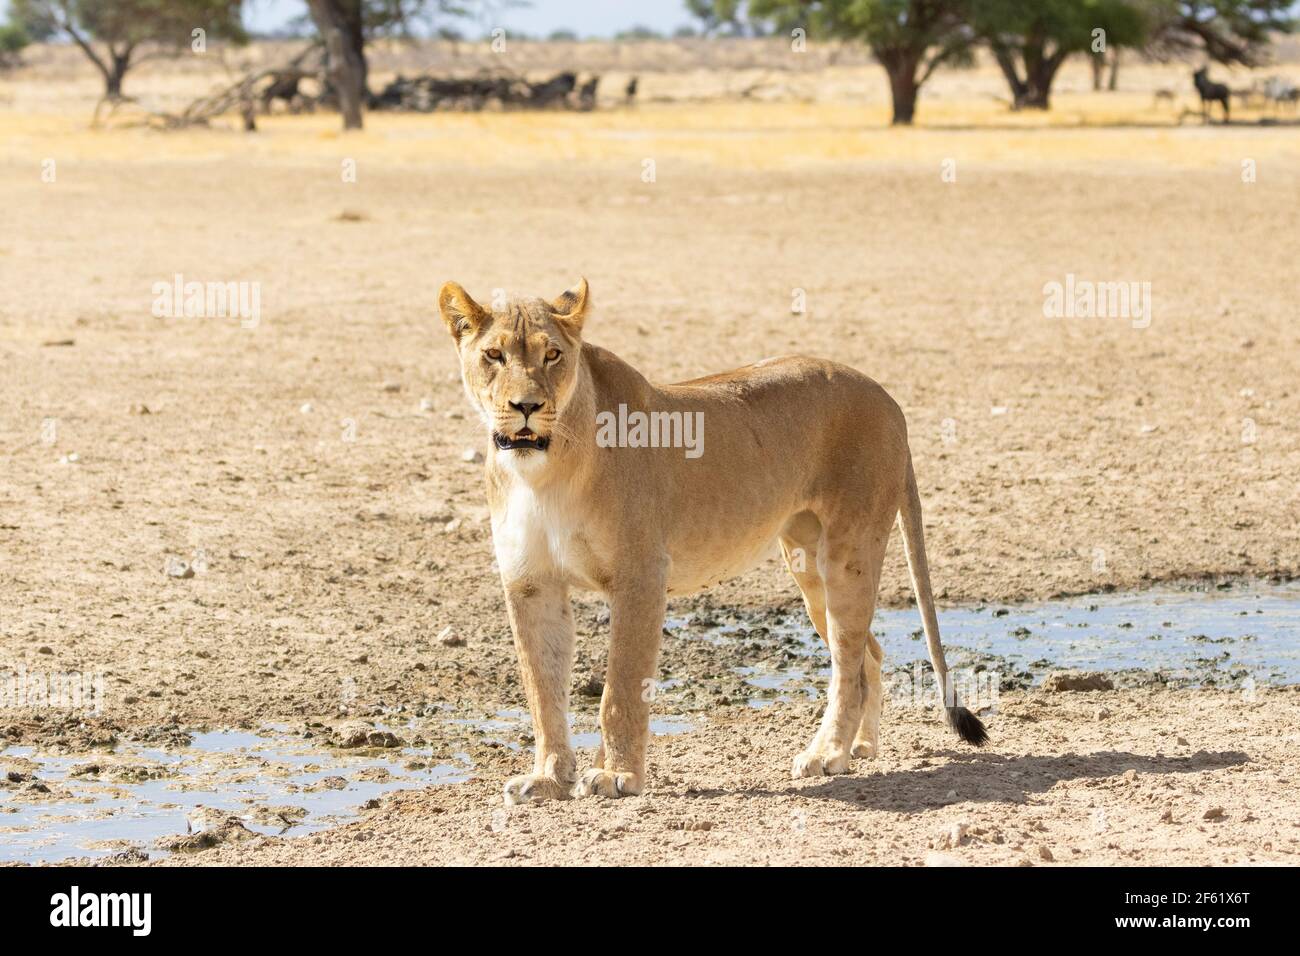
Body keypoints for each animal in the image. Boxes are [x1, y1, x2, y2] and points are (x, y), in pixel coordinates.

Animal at [438, 278, 987, 805]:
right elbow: (543, 691)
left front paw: (617, 776)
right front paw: (547, 779)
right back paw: (860, 747)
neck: (542, 469)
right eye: (494, 355)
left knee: (848, 664)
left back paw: (827, 754)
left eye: (552, 354)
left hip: (847, 552)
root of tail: (887, 397)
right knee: (867, 654)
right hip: (808, 564)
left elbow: (620, 688)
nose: (526, 407)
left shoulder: (641, 574)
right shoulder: (531, 583)